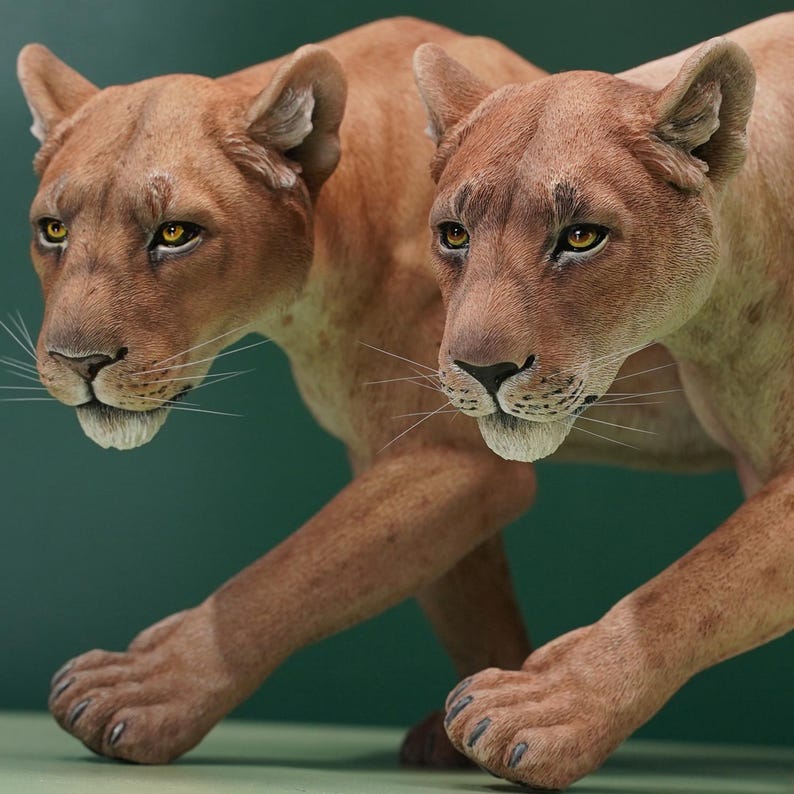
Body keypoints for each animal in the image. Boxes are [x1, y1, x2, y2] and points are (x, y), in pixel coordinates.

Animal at [19, 17, 722, 768]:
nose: (78, 361)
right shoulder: (419, 455)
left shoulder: (452, 457)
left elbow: (292, 572)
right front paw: (471, 727)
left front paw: (145, 687)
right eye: (53, 230)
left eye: (175, 233)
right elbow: (468, 600)